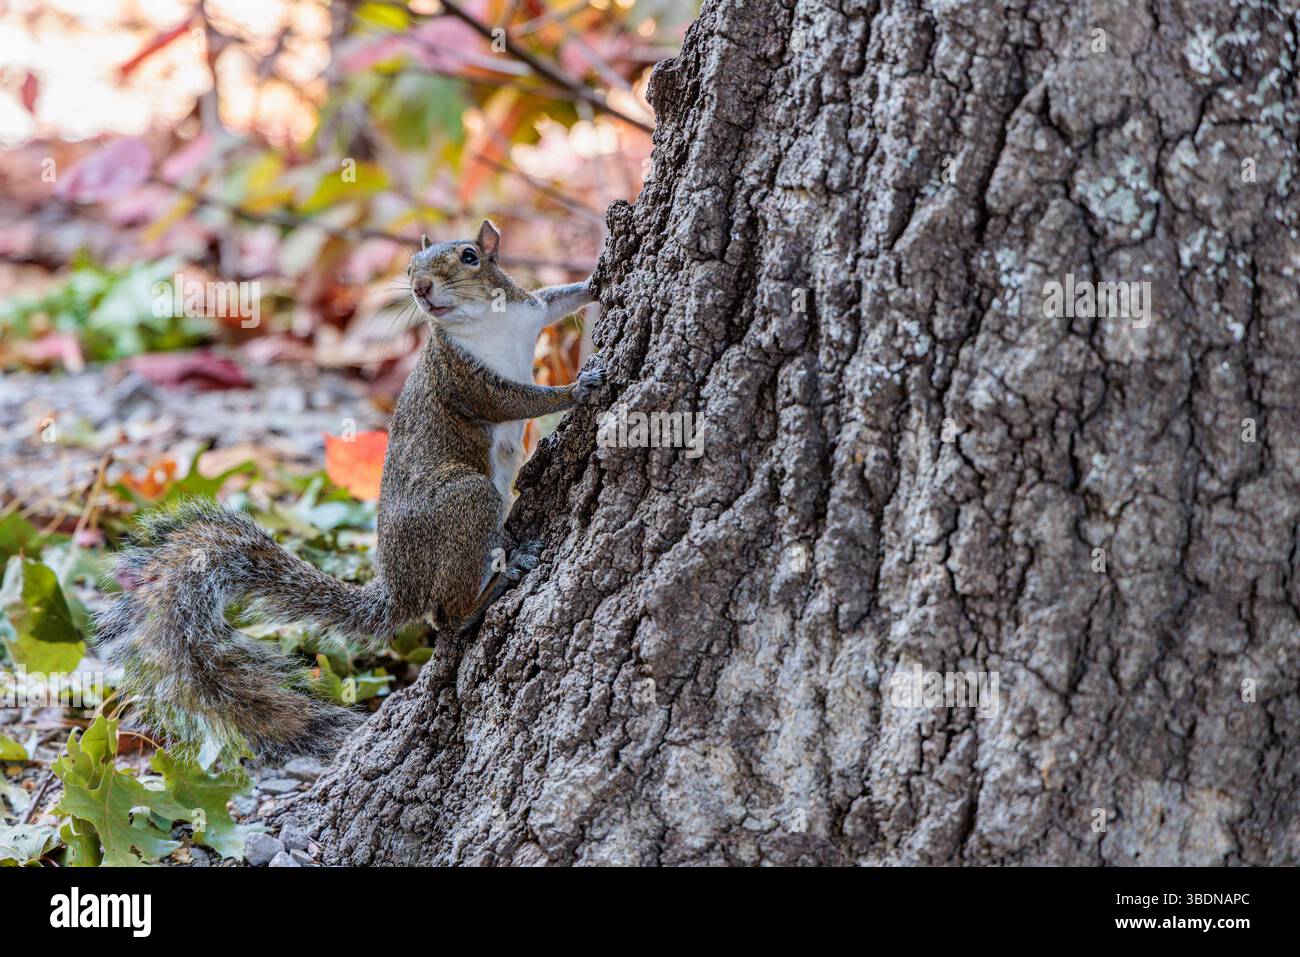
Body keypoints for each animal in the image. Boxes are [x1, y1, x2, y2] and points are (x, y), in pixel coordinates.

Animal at [93, 220, 605, 764]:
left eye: (470, 256)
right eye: (409, 267)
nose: (422, 289)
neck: (488, 321)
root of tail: (401, 587)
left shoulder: (530, 313)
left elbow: (556, 300)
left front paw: (594, 279)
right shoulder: (465, 378)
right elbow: (518, 400)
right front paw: (576, 389)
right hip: (467, 501)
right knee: (448, 617)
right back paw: (501, 578)